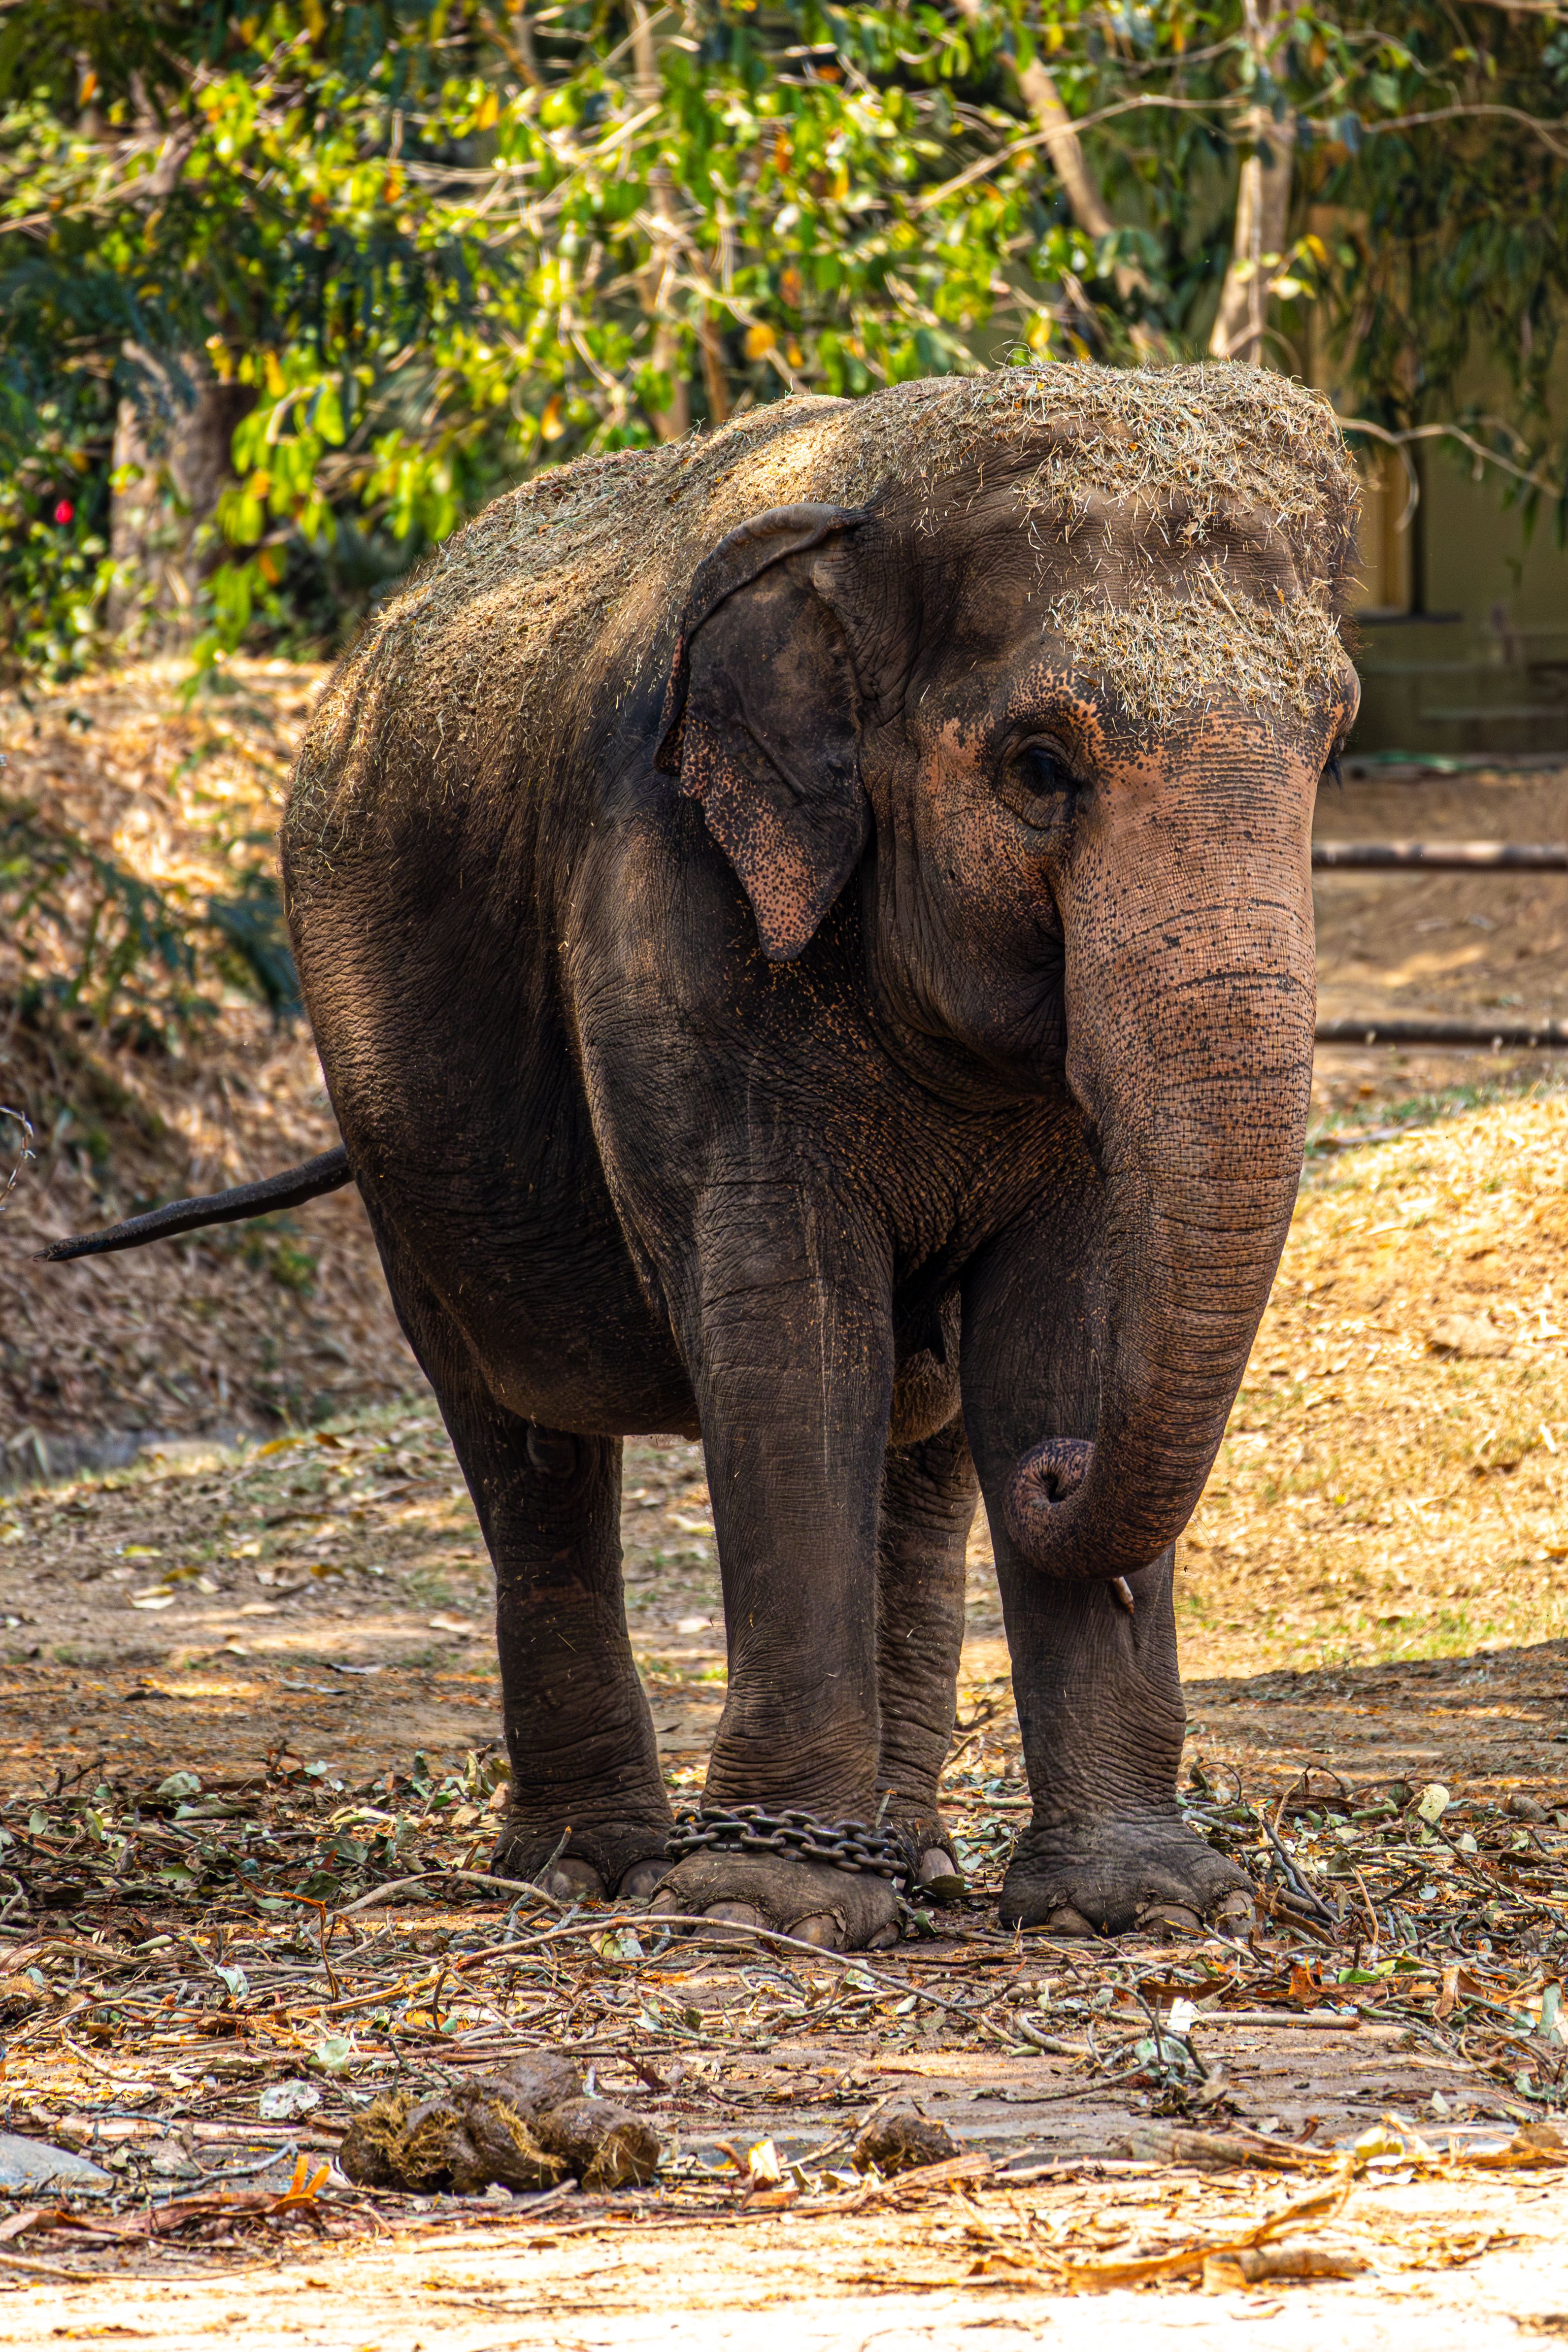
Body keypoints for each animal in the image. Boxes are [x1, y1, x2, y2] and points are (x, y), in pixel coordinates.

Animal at [46, 364, 1359, 1951]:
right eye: (1038, 765)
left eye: (1331, 746)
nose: (1056, 1477)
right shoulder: (671, 906)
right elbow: (790, 1327)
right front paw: (763, 1903)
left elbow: (1052, 1324)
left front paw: (1139, 1904)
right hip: (384, 1109)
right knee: (522, 1439)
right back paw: (586, 1866)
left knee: (919, 1447)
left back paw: (910, 1861)